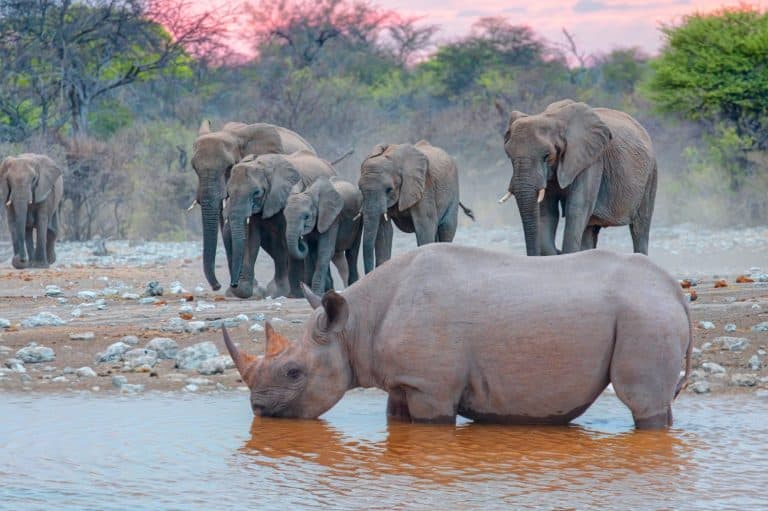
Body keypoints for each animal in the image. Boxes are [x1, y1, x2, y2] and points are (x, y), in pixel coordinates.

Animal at [222, 244, 692, 429]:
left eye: (293, 372)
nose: (258, 410)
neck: (353, 326)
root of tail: (675, 289)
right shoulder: (405, 381)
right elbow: (397, 418)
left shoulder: (431, 387)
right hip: (649, 311)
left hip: (644, 314)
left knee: (641, 399)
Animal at [224, 150, 336, 299]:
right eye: (228, 193)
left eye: (256, 192)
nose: (234, 284)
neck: (262, 165)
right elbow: (252, 240)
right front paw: (245, 290)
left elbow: (286, 242)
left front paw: (295, 293)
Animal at [357, 140, 474, 274]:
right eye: (360, 189)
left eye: (389, 189)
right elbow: (384, 232)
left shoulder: (424, 187)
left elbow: (424, 226)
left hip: (453, 190)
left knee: (446, 228)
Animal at [499, 99, 657, 256]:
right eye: (508, 155)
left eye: (547, 156)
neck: (553, 117)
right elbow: (547, 212)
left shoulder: (592, 160)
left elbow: (577, 207)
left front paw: (565, 254)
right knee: (589, 229)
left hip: (651, 175)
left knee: (640, 227)